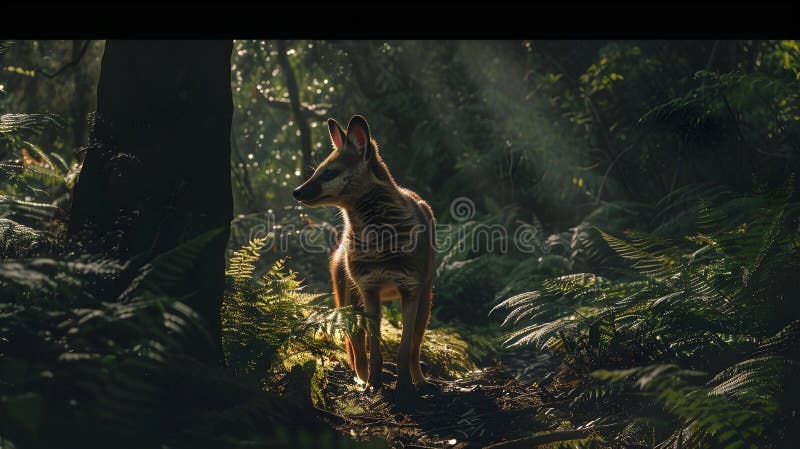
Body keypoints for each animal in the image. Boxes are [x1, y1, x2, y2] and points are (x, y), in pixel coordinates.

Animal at [293, 115, 435, 398]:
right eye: (318, 170)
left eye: (330, 172)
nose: (296, 191)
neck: (380, 242)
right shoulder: (369, 291)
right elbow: (374, 350)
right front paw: (374, 385)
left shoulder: (410, 290)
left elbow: (404, 350)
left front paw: (404, 387)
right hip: (348, 300)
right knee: (356, 347)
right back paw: (362, 380)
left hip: (425, 298)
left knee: (415, 349)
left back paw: (420, 381)